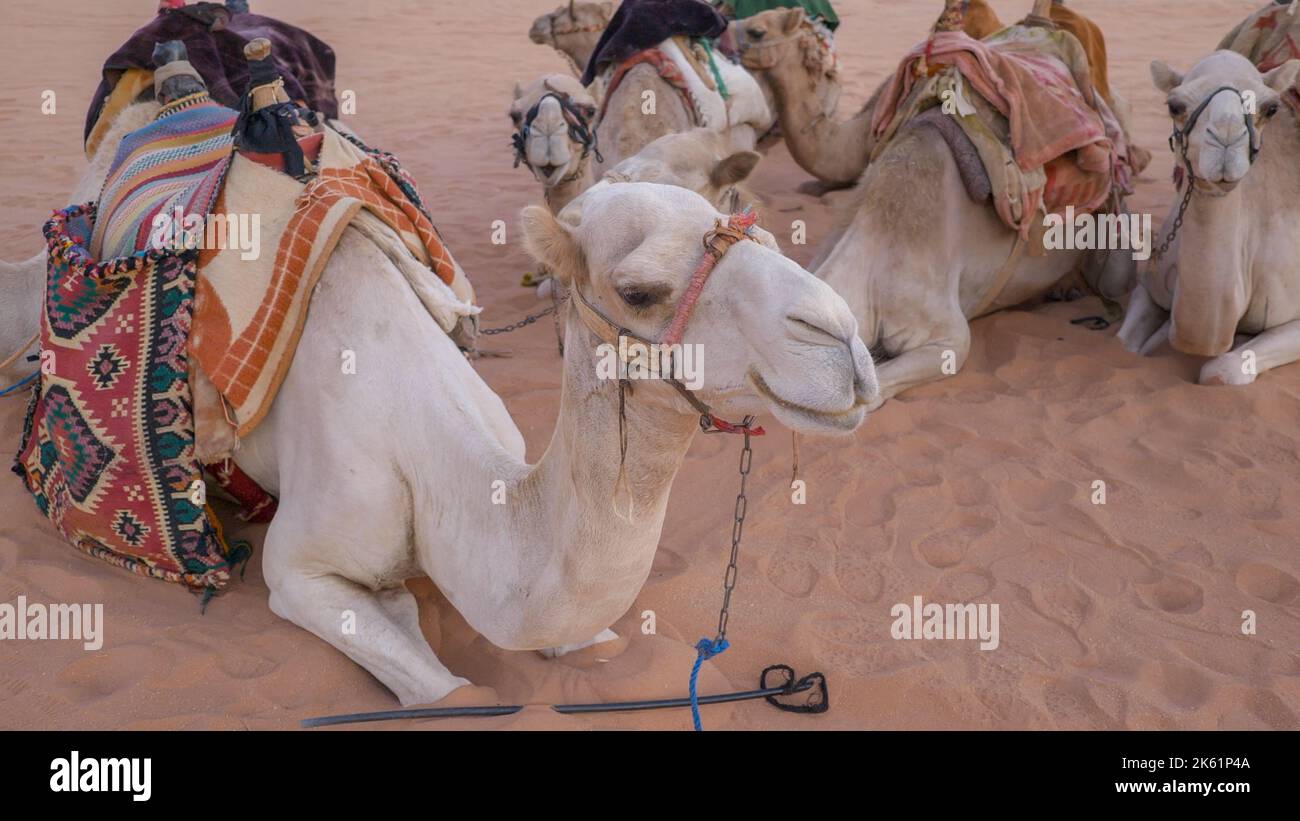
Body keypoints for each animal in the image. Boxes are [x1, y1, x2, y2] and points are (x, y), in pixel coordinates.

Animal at [1116, 52, 1300, 385]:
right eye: (1174, 106)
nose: (1226, 138)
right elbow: (1124, 345)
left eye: (1270, 108)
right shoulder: (1149, 288)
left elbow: (1220, 370)